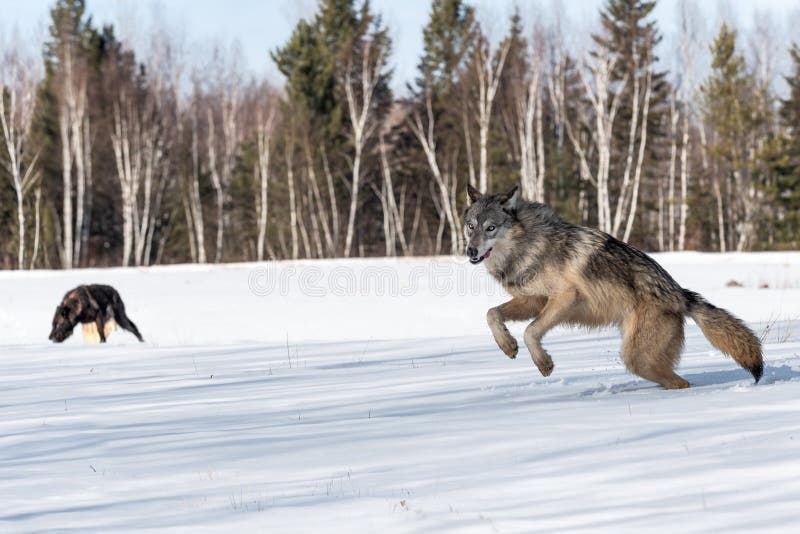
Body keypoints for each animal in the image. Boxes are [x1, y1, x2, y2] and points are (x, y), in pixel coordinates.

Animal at [464, 184, 763, 389]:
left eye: (491, 228)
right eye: (470, 226)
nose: (470, 251)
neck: (527, 245)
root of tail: (680, 294)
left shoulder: (565, 297)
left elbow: (530, 331)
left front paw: (544, 363)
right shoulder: (533, 301)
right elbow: (492, 314)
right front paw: (507, 345)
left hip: (635, 356)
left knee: (681, 382)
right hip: (638, 360)